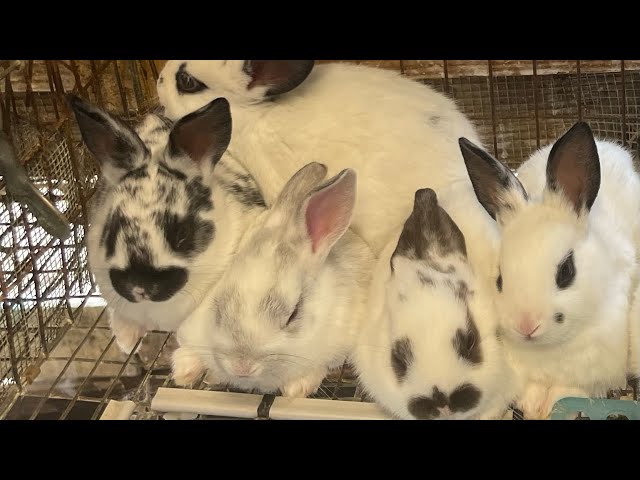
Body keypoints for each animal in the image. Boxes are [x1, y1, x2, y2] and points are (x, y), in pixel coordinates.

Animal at [459, 121, 640, 419]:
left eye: (566, 271)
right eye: (500, 279)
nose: (526, 325)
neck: (551, 350)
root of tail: (606, 143)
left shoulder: (592, 374)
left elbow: (566, 391)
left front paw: (548, 407)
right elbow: (532, 388)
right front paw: (532, 407)